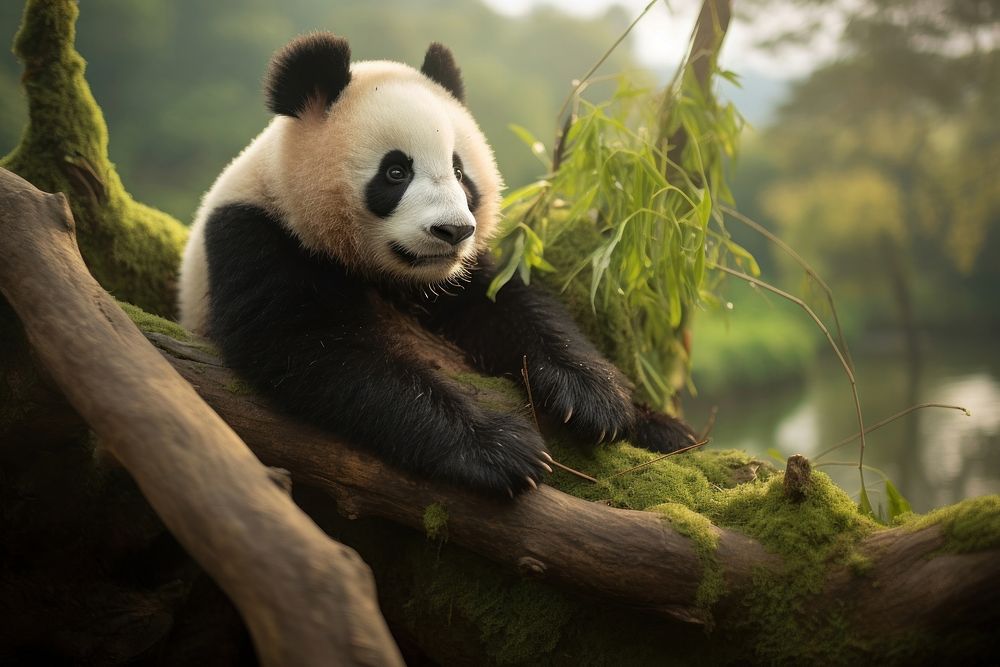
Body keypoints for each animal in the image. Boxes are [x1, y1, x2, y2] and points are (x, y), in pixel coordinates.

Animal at [178, 33, 694, 497]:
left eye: (461, 173)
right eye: (395, 172)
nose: (453, 231)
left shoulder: (456, 279)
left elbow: (511, 308)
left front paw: (592, 396)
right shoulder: (256, 236)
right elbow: (314, 348)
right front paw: (499, 449)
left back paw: (667, 430)